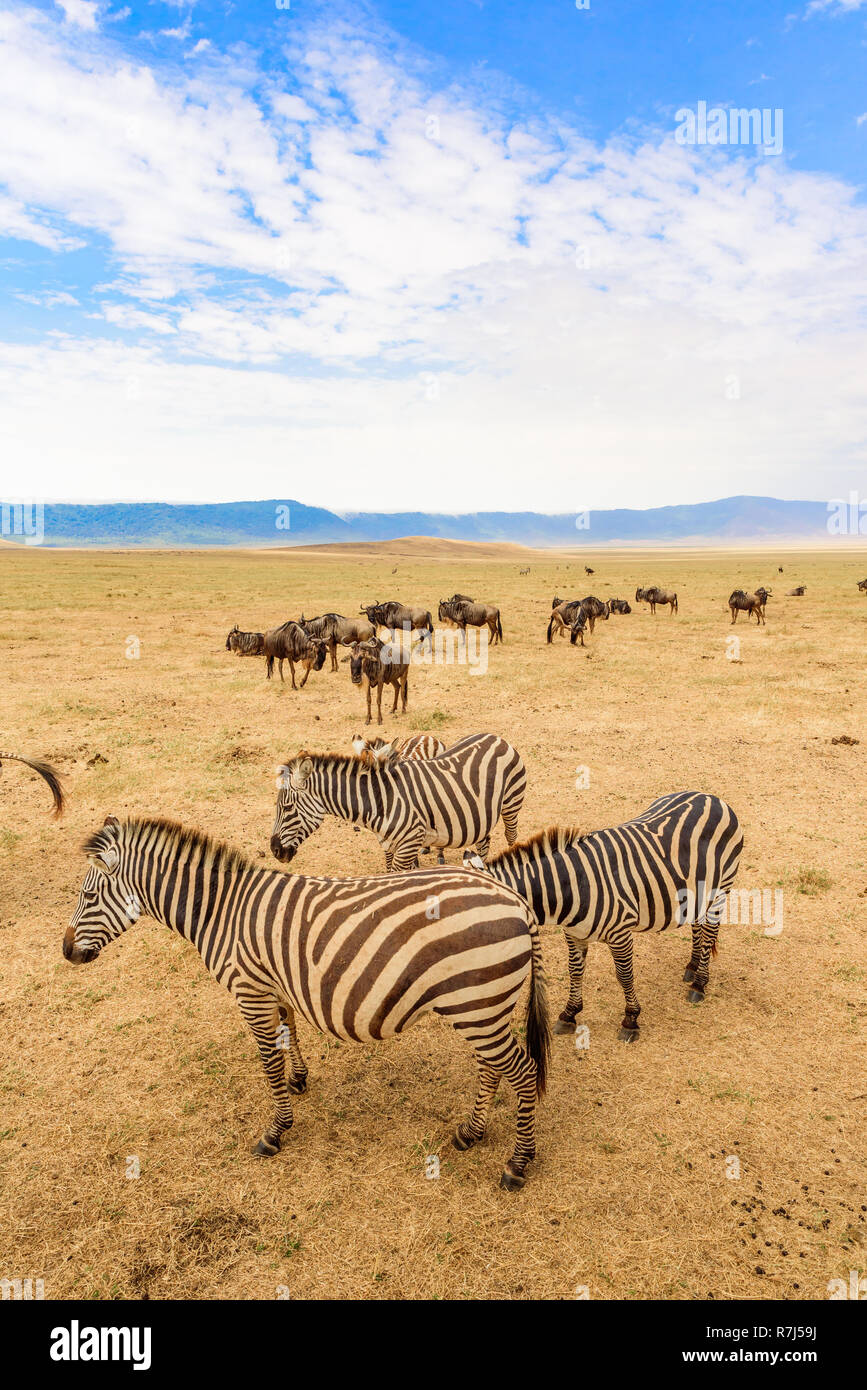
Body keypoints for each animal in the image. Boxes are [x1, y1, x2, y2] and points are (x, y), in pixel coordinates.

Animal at [64, 815, 550, 1190]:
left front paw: (276, 1131)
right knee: (491, 1068)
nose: (66, 952)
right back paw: (471, 1132)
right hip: (482, 1007)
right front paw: (299, 1079)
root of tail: (516, 901)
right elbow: (288, 1032)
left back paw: (517, 1163)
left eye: (88, 897)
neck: (222, 911)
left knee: (523, 1073)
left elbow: (267, 1061)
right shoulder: (273, 985)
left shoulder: (250, 992)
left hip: (478, 1004)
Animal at [271, 732, 526, 872]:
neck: (381, 799)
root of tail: (495, 737)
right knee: (484, 842)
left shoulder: (408, 843)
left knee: (511, 835)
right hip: (481, 813)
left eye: (287, 808)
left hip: (511, 804)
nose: (274, 850)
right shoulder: (389, 844)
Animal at [463, 791, 742, 1041]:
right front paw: (569, 1014)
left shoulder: (620, 934)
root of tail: (711, 797)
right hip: (696, 889)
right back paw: (692, 967)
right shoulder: (573, 934)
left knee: (710, 933)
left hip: (720, 889)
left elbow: (624, 975)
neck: (569, 887)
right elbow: (575, 971)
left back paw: (699, 983)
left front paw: (631, 1019)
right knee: (697, 926)